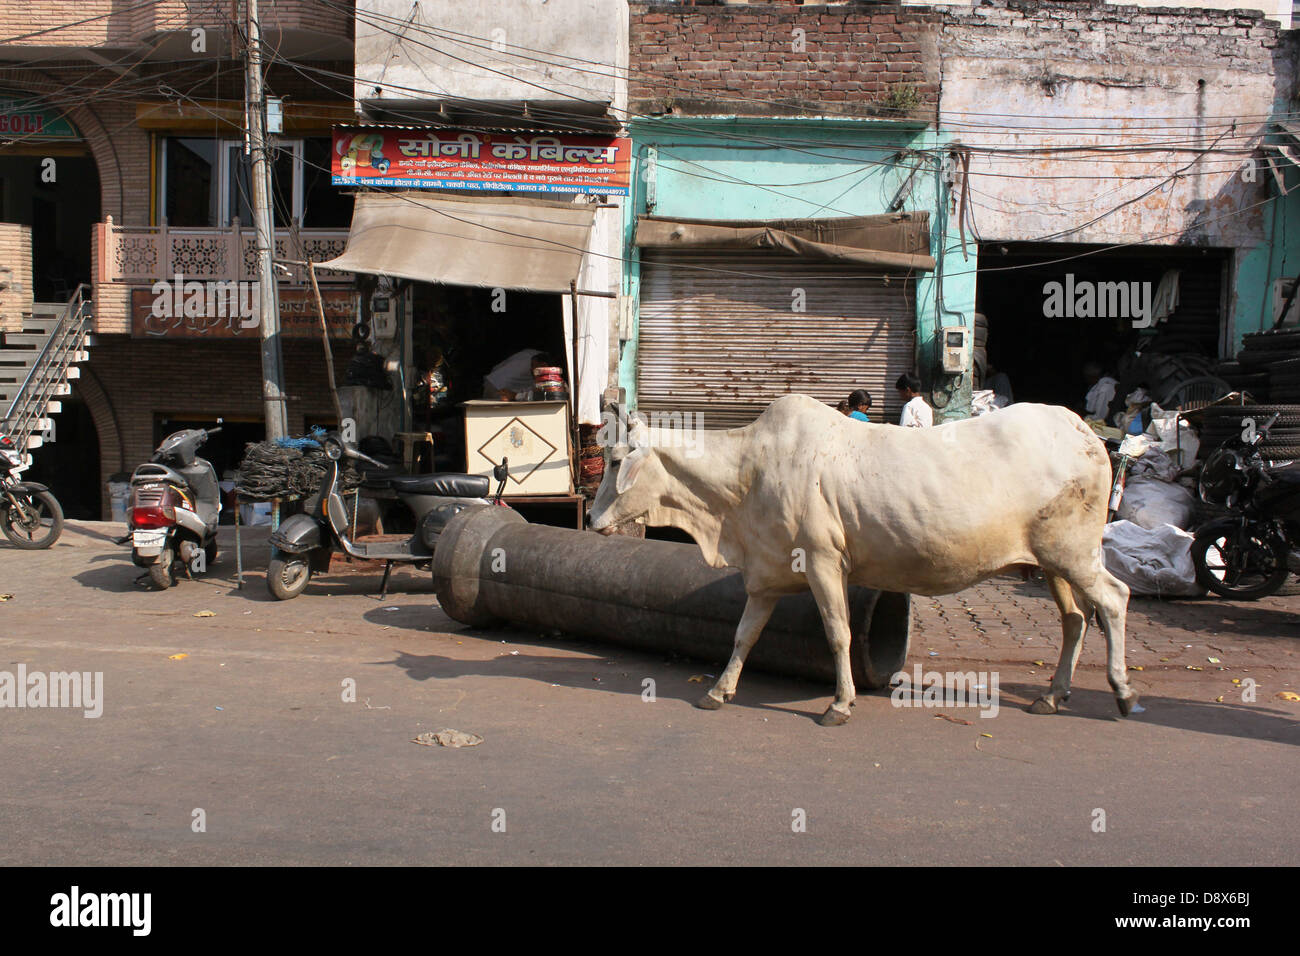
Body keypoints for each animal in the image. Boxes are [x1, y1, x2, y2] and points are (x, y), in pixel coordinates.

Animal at [589, 394, 1138, 726]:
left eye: (616, 461)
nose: (592, 521)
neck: (744, 478)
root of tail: (1080, 429)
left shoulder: (822, 562)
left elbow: (839, 634)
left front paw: (840, 703)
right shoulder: (766, 576)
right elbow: (744, 634)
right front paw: (719, 691)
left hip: (1074, 552)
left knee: (1114, 599)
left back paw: (1123, 692)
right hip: (1052, 563)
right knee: (1074, 619)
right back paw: (1053, 695)